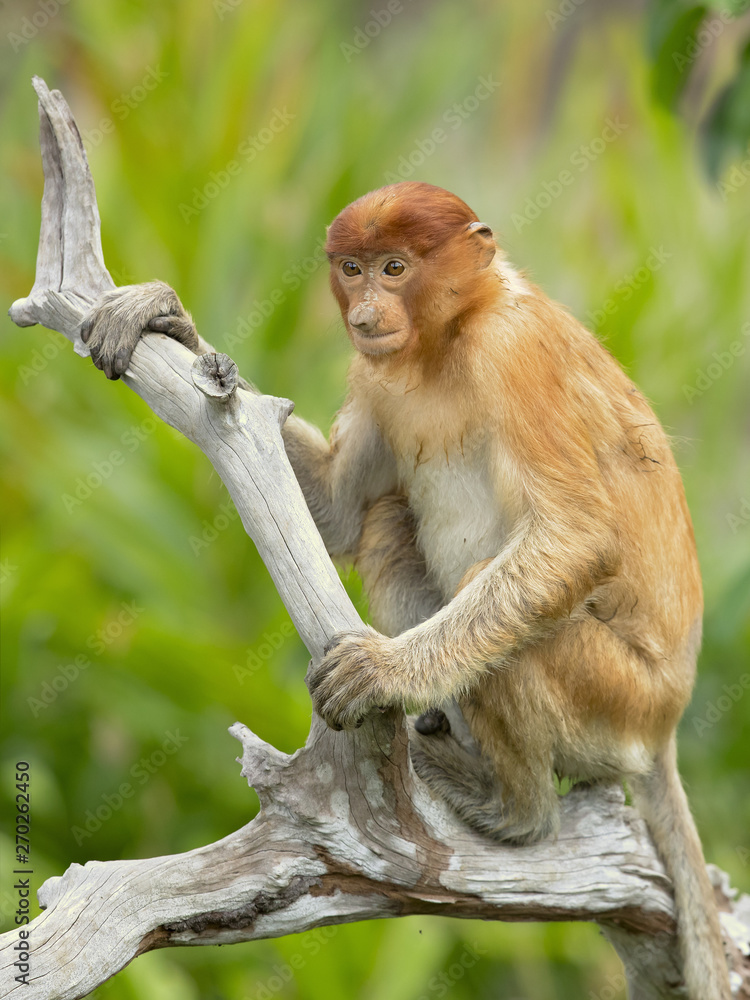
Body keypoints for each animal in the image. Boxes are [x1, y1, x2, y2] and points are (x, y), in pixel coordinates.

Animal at [79, 182, 729, 999]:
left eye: (396, 267)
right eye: (352, 268)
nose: (365, 314)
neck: (449, 337)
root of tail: (667, 722)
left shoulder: (513, 352)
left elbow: (577, 536)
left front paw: (376, 673)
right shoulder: (375, 372)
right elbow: (338, 512)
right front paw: (161, 315)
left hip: (616, 702)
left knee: (513, 623)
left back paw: (513, 809)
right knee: (388, 520)